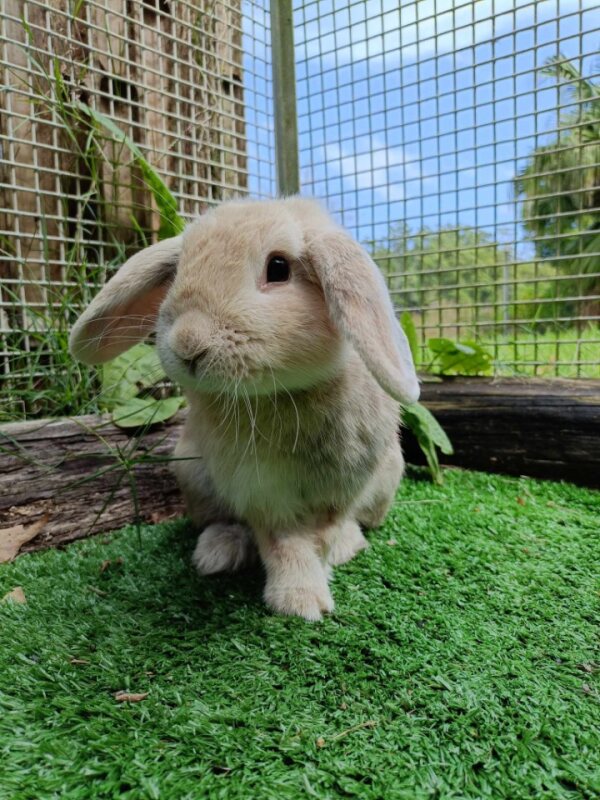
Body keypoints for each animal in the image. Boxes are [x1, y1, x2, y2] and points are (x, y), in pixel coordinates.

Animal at [70, 197, 419, 620]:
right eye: (178, 271)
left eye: (279, 268)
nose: (188, 343)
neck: (279, 394)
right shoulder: (258, 493)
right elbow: (281, 543)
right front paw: (298, 601)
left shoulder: (341, 487)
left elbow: (321, 535)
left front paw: (311, 589)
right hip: (194, 476)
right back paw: (218, 552)